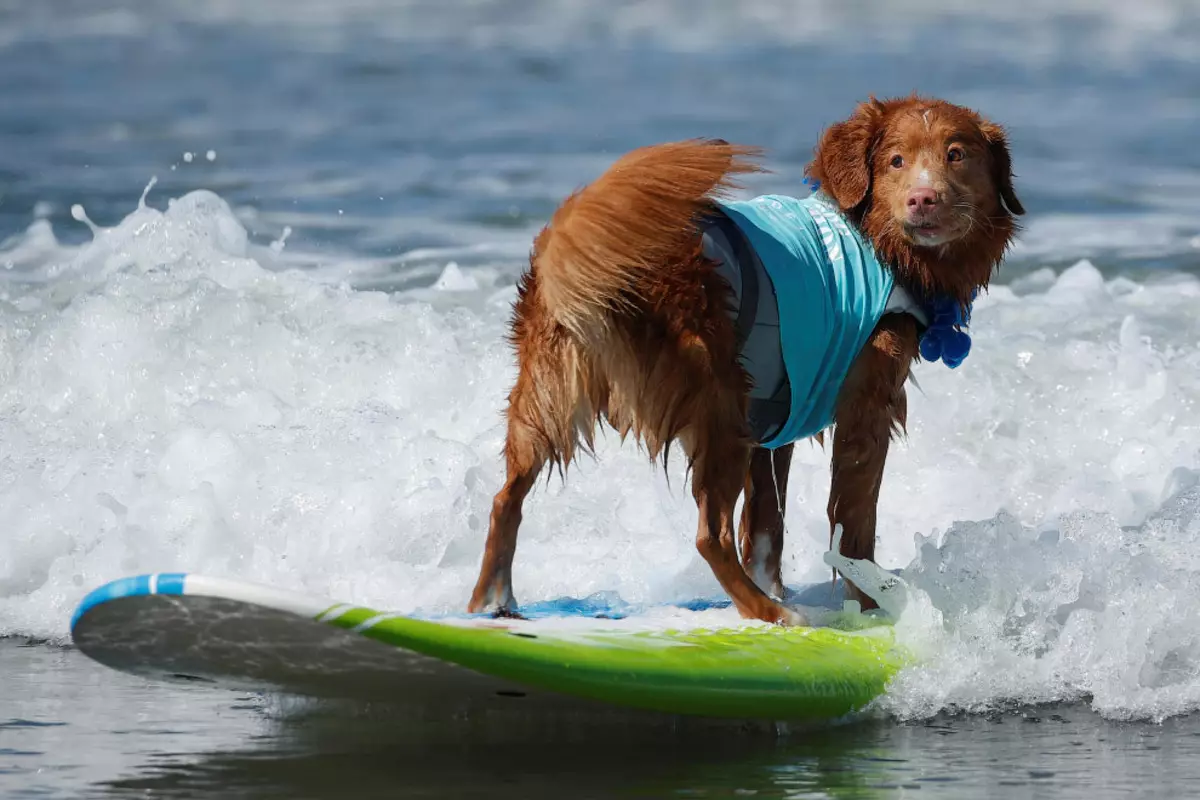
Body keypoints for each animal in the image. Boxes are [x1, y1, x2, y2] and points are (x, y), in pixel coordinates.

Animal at [468, 97, 1022, 623]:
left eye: (956, 155)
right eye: (895, 161)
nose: (922, 198)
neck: (876, 240)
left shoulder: (777, 421)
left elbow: (765, 525)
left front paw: (779, 586)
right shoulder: (864, 412)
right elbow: (854, 526)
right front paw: (870, 607)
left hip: (546, 399)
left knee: (505, 499)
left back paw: (490, 602)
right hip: (719, 407)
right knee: (707, 535)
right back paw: (770, 613)